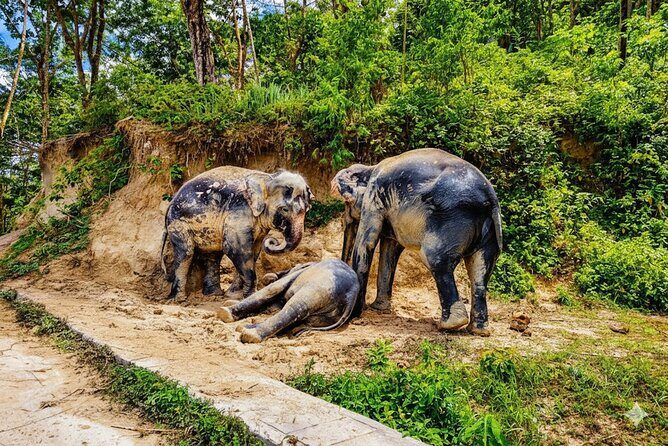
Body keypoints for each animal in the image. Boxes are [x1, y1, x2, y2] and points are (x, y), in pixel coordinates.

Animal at [160, 166, 313, 301]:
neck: (267, 178)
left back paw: (213, 295)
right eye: (284, 209)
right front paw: (249, 295)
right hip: (178, 223)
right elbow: (236, 249)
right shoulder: (239, 211)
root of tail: (170, 204)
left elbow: (253, 251)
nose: (273, 241)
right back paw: (179, 299)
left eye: (307, 209)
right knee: (186, 252)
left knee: (213, 255)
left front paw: (233, 295)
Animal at [216, 259, 359, 343]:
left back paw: (249, 334)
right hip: (328, 315)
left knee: (295, 308)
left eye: (294, 266)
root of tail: (352, 294)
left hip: (320, 288)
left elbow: (272, 289)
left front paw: (226, 310)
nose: (270, 275)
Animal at [331, 148, 502, 336]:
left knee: (436, 260)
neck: (370, 168)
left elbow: (366, 243)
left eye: (347, 204)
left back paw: (448, 326)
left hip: (450, 220)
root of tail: (490, 199)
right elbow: (390, 249)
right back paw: (478, 330)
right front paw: (379, 309)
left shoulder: (374, 198)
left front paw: (356, 314)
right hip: (490, 232)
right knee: (480, 271)